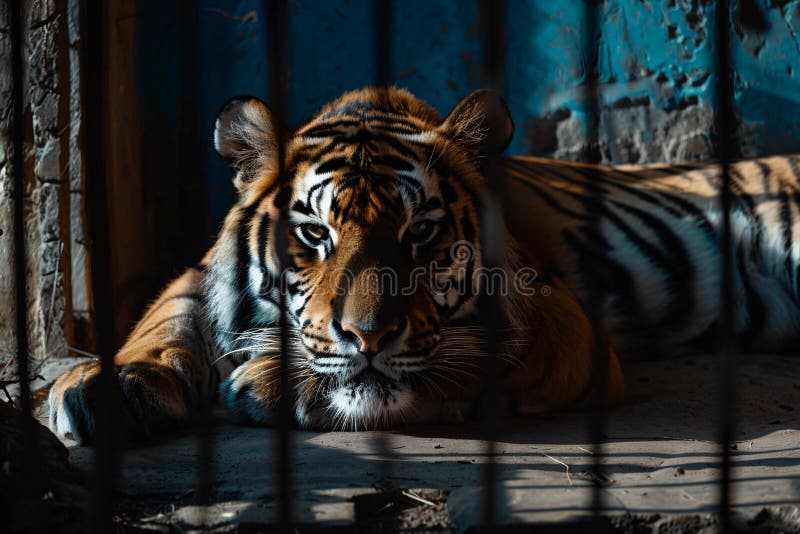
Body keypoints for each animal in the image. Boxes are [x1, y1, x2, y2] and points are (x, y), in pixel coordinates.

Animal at [47, 86, 798, 443]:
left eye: (422, 233)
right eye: (314, 233)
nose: (369, 335)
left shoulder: (560, 321)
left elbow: (445, 363)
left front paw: (267, 382)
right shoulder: (201, 277)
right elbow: (165, 318)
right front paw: (106, 386)